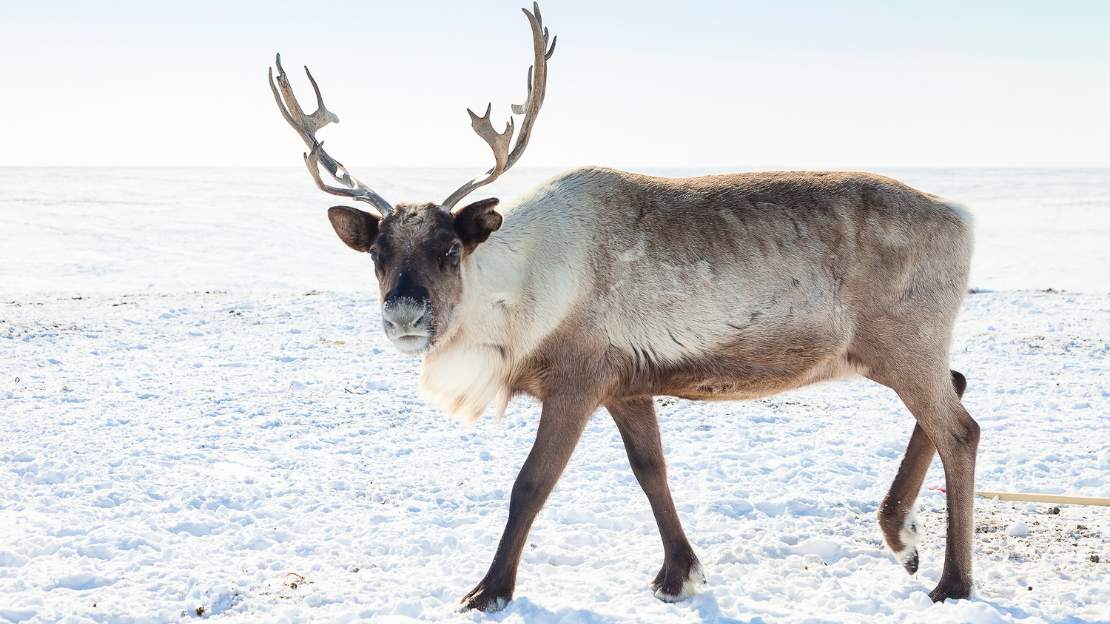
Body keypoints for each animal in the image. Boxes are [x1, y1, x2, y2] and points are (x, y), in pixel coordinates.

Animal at [268, 3, 979, 612]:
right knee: (959, 386)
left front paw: (489, 590)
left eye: (449, 249)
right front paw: (678, 573)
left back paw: (953, 580)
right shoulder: (627, 383)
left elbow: (531, 483)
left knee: (961, 430)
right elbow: (651, 470)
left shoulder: (577, 379)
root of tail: (961, 217)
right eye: (376, 251)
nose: (404, 316)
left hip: (903, 343)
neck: (514, 295)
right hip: (892, 351)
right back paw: (901, 537)